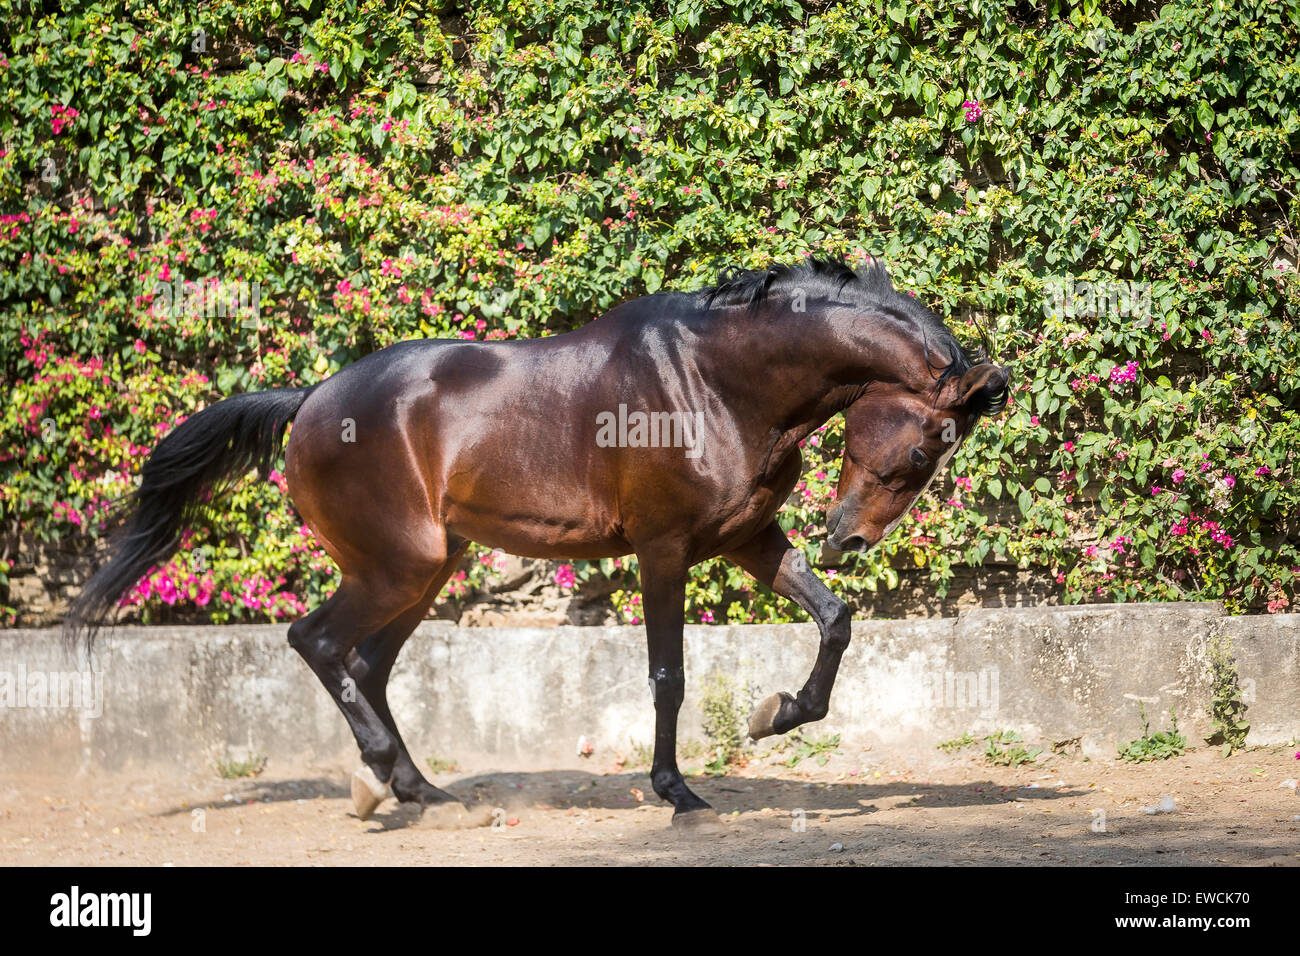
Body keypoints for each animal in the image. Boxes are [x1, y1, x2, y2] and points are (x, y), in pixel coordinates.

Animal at [65, 257, 1008, 832]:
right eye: (922, 453)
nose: (848, 538)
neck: (718, 381)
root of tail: (308, 402)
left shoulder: (748, 538)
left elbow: (835, 619)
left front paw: (775, 713)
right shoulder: (663, 550)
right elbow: (668, 675)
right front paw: (678, 792)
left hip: (426, 569)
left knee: (365, 663)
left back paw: (423, 791)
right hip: (399, 566)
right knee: (318, 641)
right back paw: (382, 778)